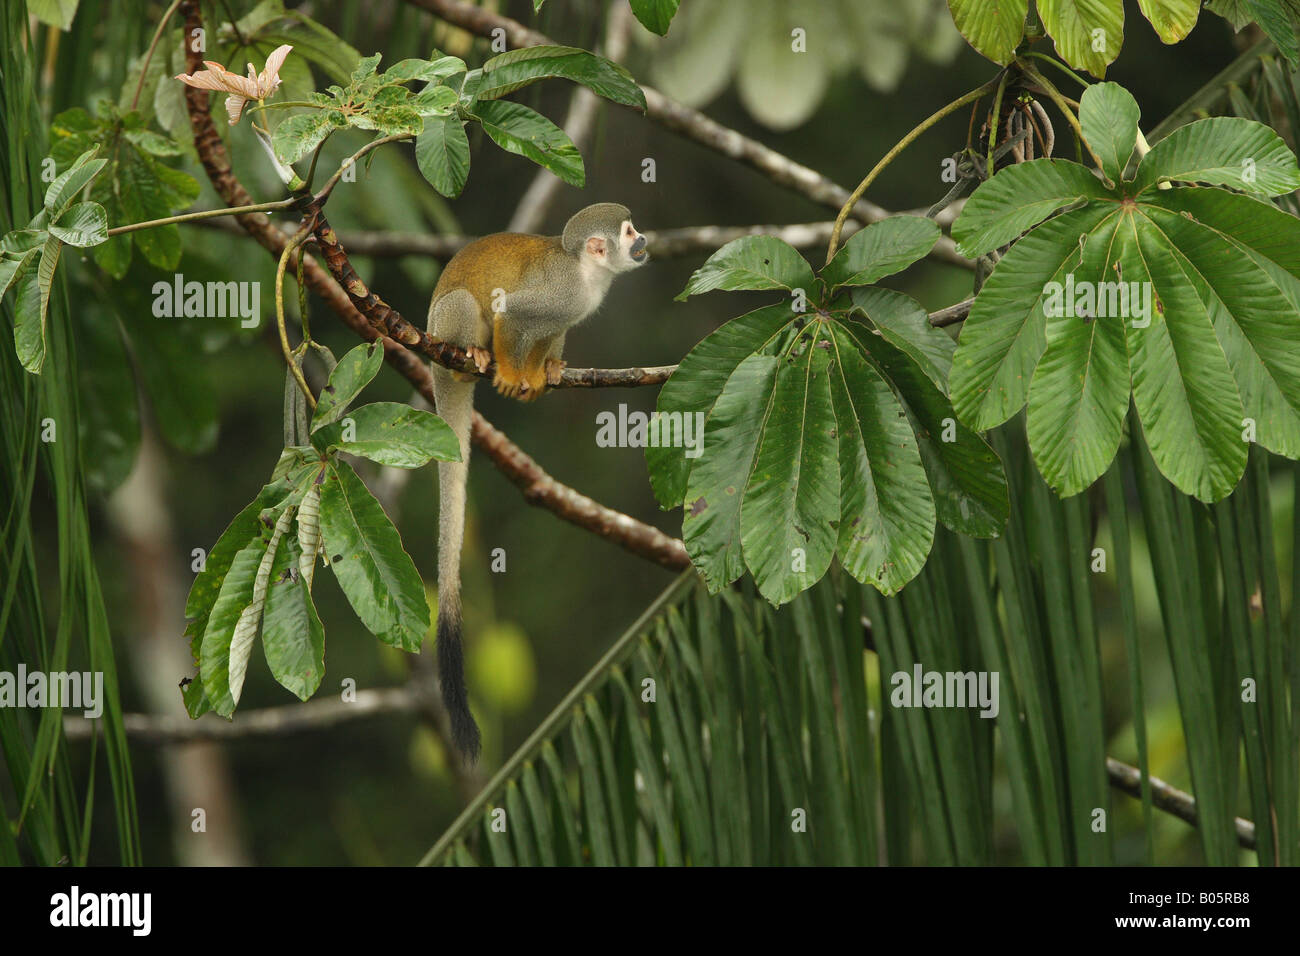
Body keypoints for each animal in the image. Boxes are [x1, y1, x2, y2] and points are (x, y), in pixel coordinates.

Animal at [427, 203, 648, 761]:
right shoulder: (562, 290)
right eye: (629, 231)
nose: (645, 241)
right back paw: (472, 362)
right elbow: (510, 312)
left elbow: (550, 330)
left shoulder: (574, 305)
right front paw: (510, 372)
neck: (587, 274)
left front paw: (538, 373)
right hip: (441, 327)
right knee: (468, 306)